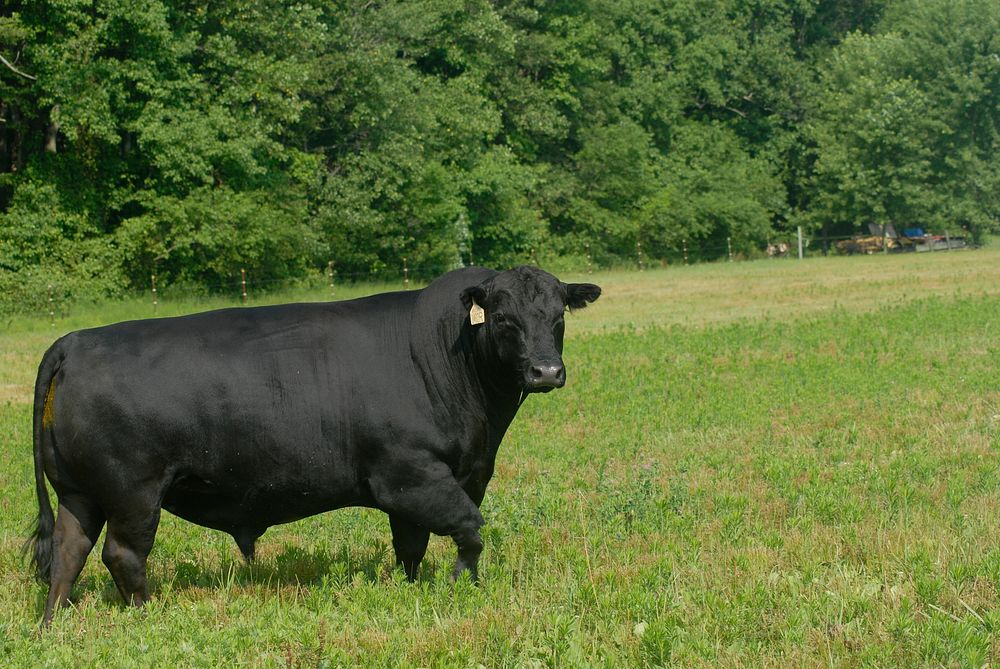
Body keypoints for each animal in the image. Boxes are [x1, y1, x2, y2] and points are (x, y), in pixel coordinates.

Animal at [27, 265, 600, 624]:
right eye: (503, 318)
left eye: (558, 317)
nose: (546, 371)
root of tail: (76, 341)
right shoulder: (411, 475)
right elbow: (470, 528)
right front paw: (463, 584)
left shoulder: (431, 484)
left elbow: (411, 548)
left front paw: (412, 589)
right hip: (134, 492)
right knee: (122, 555)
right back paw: (146, 616)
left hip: (81, 493)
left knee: (68, 552)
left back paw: (57, 622)